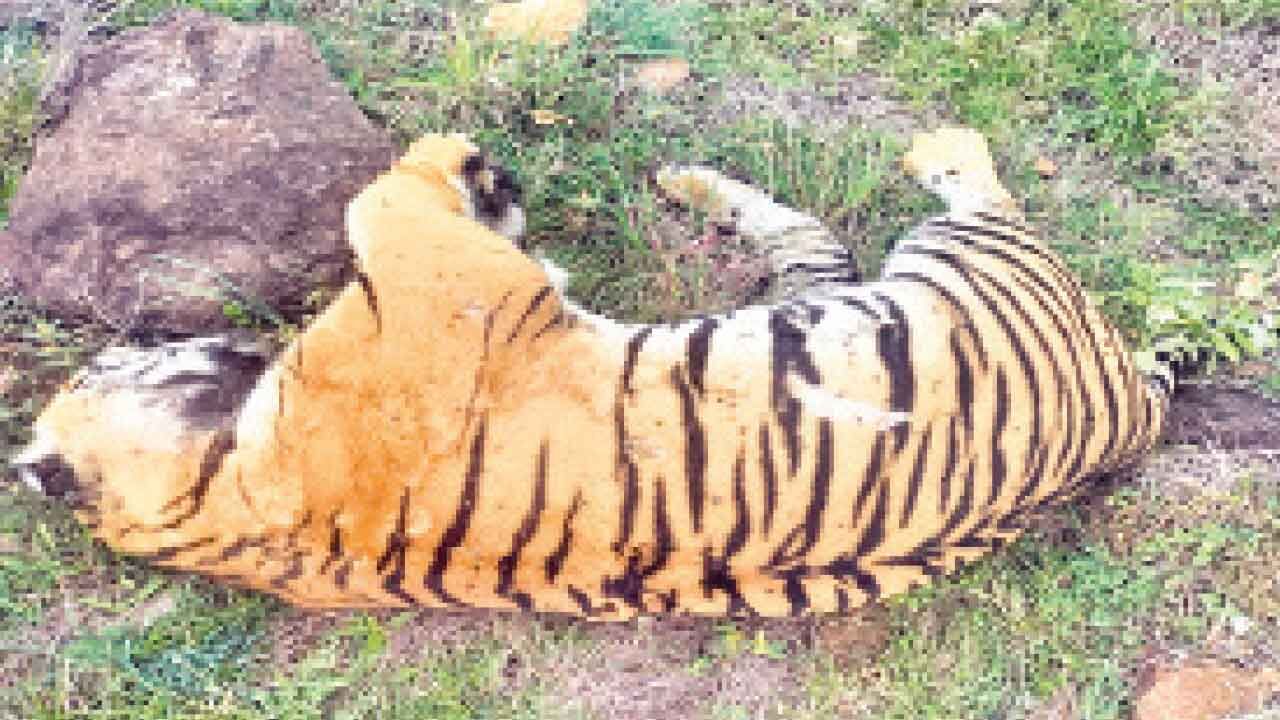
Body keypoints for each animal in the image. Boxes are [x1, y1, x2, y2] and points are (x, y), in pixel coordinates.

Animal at [9, 128, 1169, 619]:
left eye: (110, 355)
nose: (149, 338)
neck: (218, 505)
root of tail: (1125, 411)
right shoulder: (450, 281)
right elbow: (382, 197)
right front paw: (463, 161)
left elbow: (398, 202)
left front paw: (487, 179)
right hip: (954, 263)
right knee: (974, 182)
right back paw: (926, 143)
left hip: (835, 289)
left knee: (809, 234)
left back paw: (683, 177)